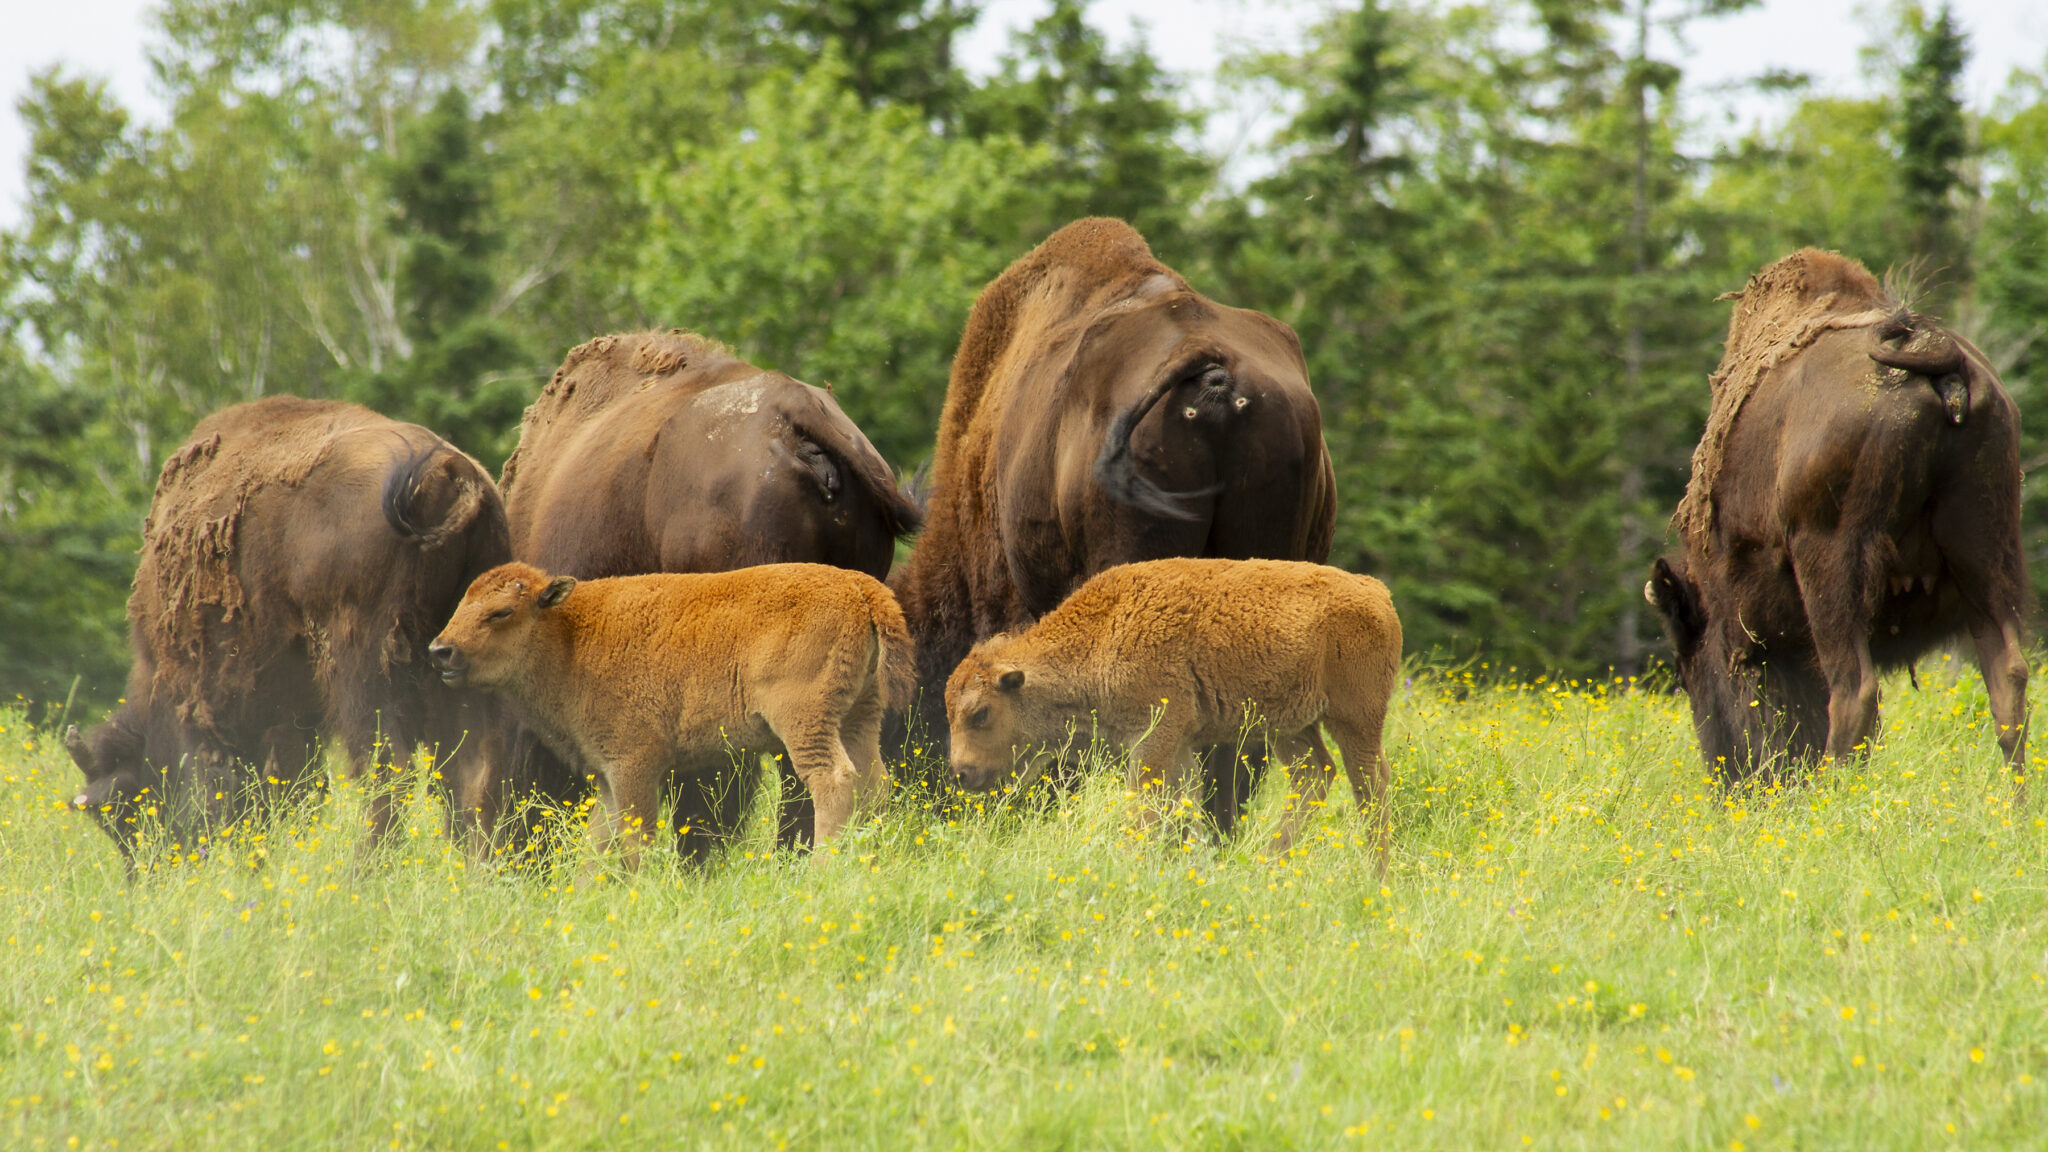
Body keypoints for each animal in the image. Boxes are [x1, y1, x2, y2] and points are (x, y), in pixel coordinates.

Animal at [1648, 248, 2029, 788]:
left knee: (1854, 691)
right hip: (1985, 548)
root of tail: (1937, 357)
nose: (1729, 785)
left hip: (1831, 564)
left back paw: (1832, 794)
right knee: (2008, 680)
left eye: (1685, 673)